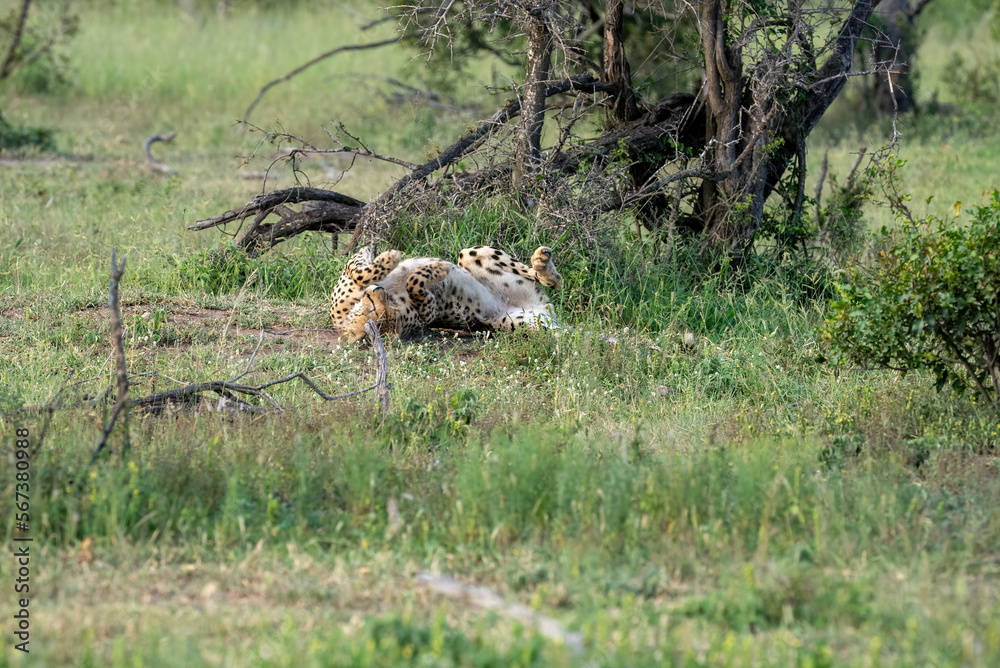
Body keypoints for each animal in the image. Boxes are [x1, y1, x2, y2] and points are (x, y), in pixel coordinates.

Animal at [329, 244, 563, 343]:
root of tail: (542, 306)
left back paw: (544, 264)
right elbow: (415, 284)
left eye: (372, 304)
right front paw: (437, 270)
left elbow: (360, 271)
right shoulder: (428, 312)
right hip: (527, 323)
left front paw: (388, 257)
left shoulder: (353, 269)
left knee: (548, 278)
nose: (379, 290)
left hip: (469, 253)